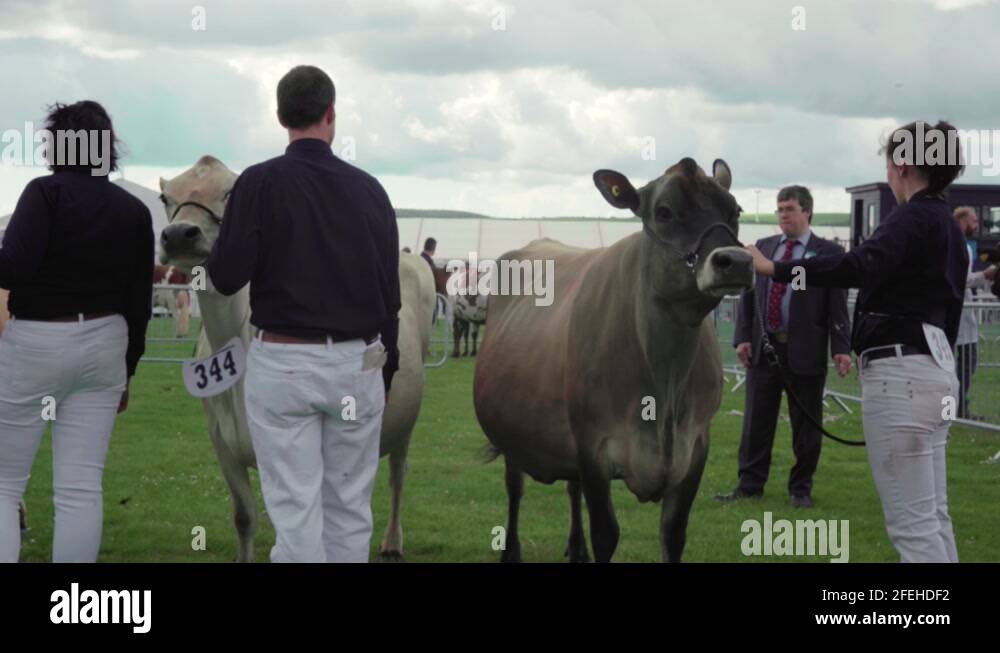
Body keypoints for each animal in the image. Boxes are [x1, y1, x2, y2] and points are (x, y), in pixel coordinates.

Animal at [473, 157, 754, 563]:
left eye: (735, 210)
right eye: (664, 211)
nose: (738, 261)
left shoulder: (696, 448)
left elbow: (673, 535)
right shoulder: (592, 448)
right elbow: (606, 533)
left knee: (570, 487)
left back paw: (576, 548)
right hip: (512, 432)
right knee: (515, 487)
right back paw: (512, 551)